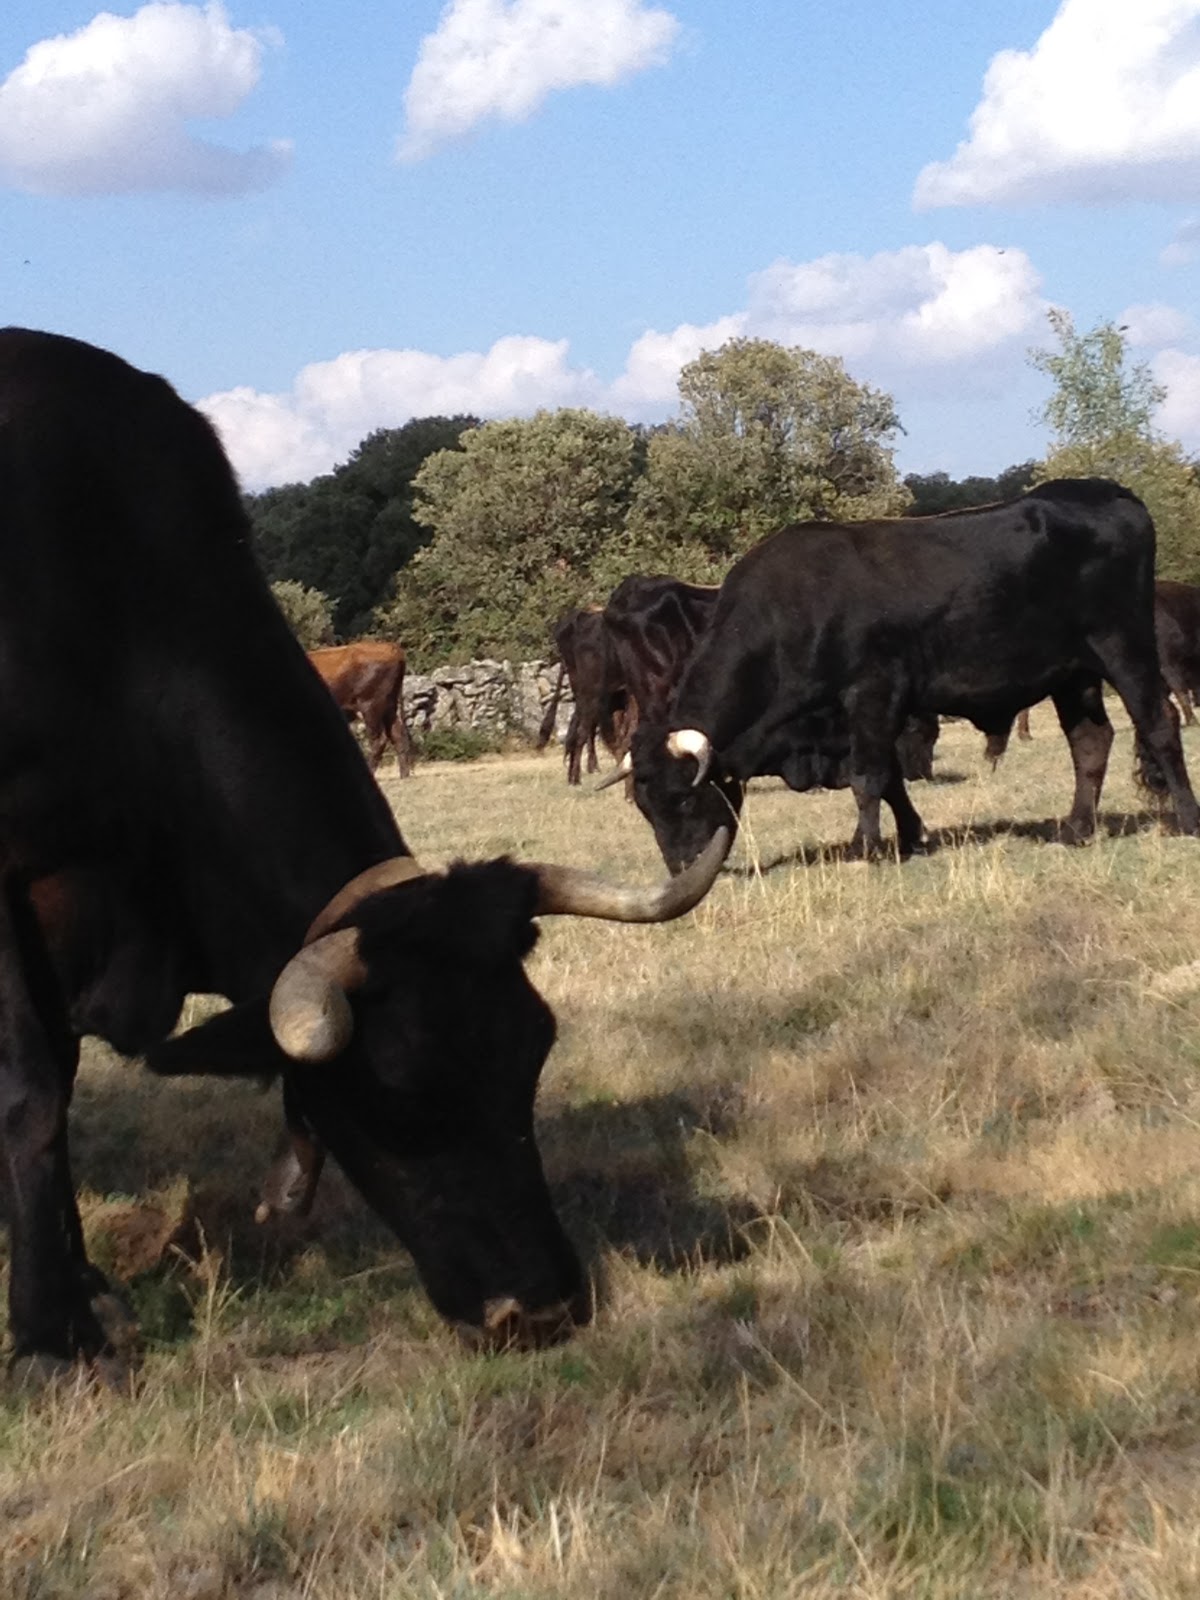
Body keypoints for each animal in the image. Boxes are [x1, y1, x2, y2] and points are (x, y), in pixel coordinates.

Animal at [306, 640, 414, 776]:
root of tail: (391, 647)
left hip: (371, 706)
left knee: (379, 740)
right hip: (388, 707)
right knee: (397, 735)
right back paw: (404, 775)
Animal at [618, 480, 1200, 872]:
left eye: (684, 798)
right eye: (645, 808)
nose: (681, 867)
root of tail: (1106, 490)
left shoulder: (874, 693)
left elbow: (868, 777)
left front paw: (867, 848)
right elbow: (891, 778)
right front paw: (910, 836)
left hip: (1123, 645)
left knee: (1160, 725)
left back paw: (1188, 819)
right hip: (1073, 674)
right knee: (1090, 740)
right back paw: (1077, 828)